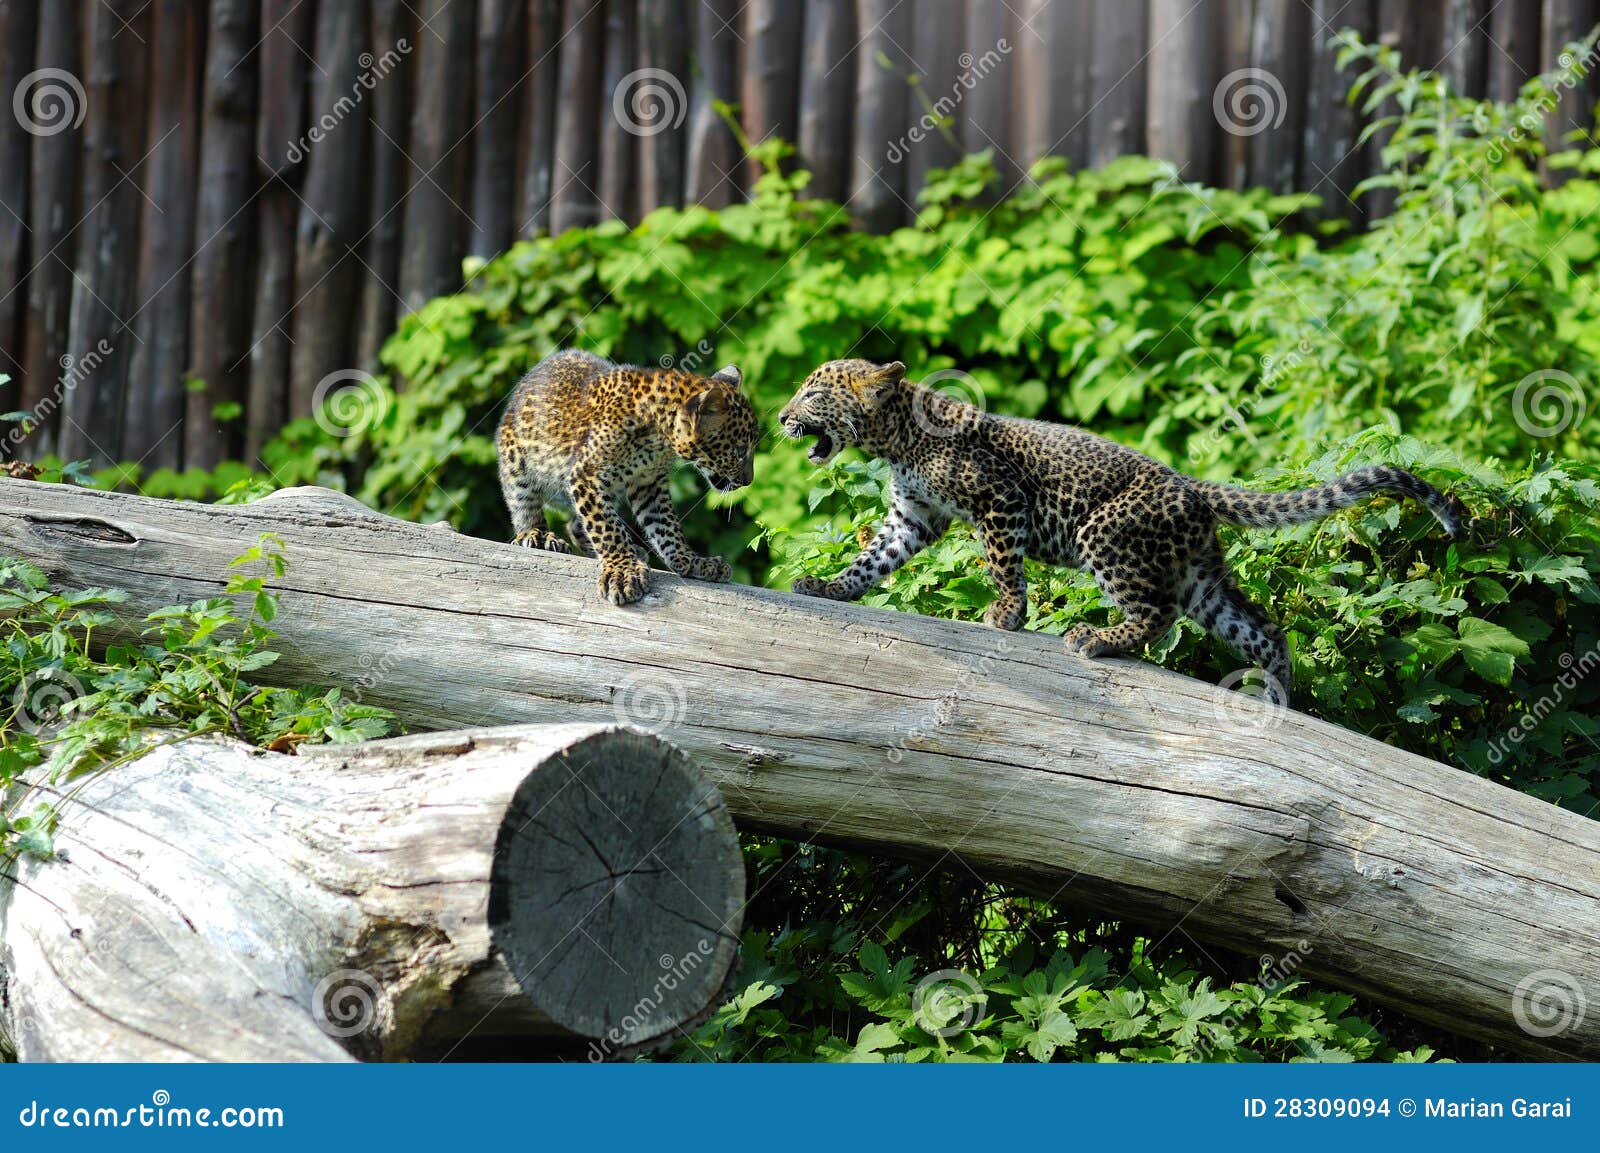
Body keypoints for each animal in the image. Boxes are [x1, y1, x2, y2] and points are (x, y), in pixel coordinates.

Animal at [497, 350, 759, 605]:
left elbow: (666, 527)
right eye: (738, 451)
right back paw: (539, 536)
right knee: (526, 508)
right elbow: (606, 527)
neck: (659, 438)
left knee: (576, 525)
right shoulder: (586, 474)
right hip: (516, 463)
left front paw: (691, 560)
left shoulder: (649, 484)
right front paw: (623, 571)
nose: (749, 480)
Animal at [779, 358, 1464, 706]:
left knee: (1156, 613)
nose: (783, 416)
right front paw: (825, 588)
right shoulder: (913, 518)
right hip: (1202, 579)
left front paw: (1006, 615)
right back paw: (1277, 701)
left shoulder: (1001, 501)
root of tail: (1194, 487)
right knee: (1263, 631)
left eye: (812, 394)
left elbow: (1003, 563)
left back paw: (1096, 638)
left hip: (1106, 535)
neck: (895, 439)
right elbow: (872, 560)